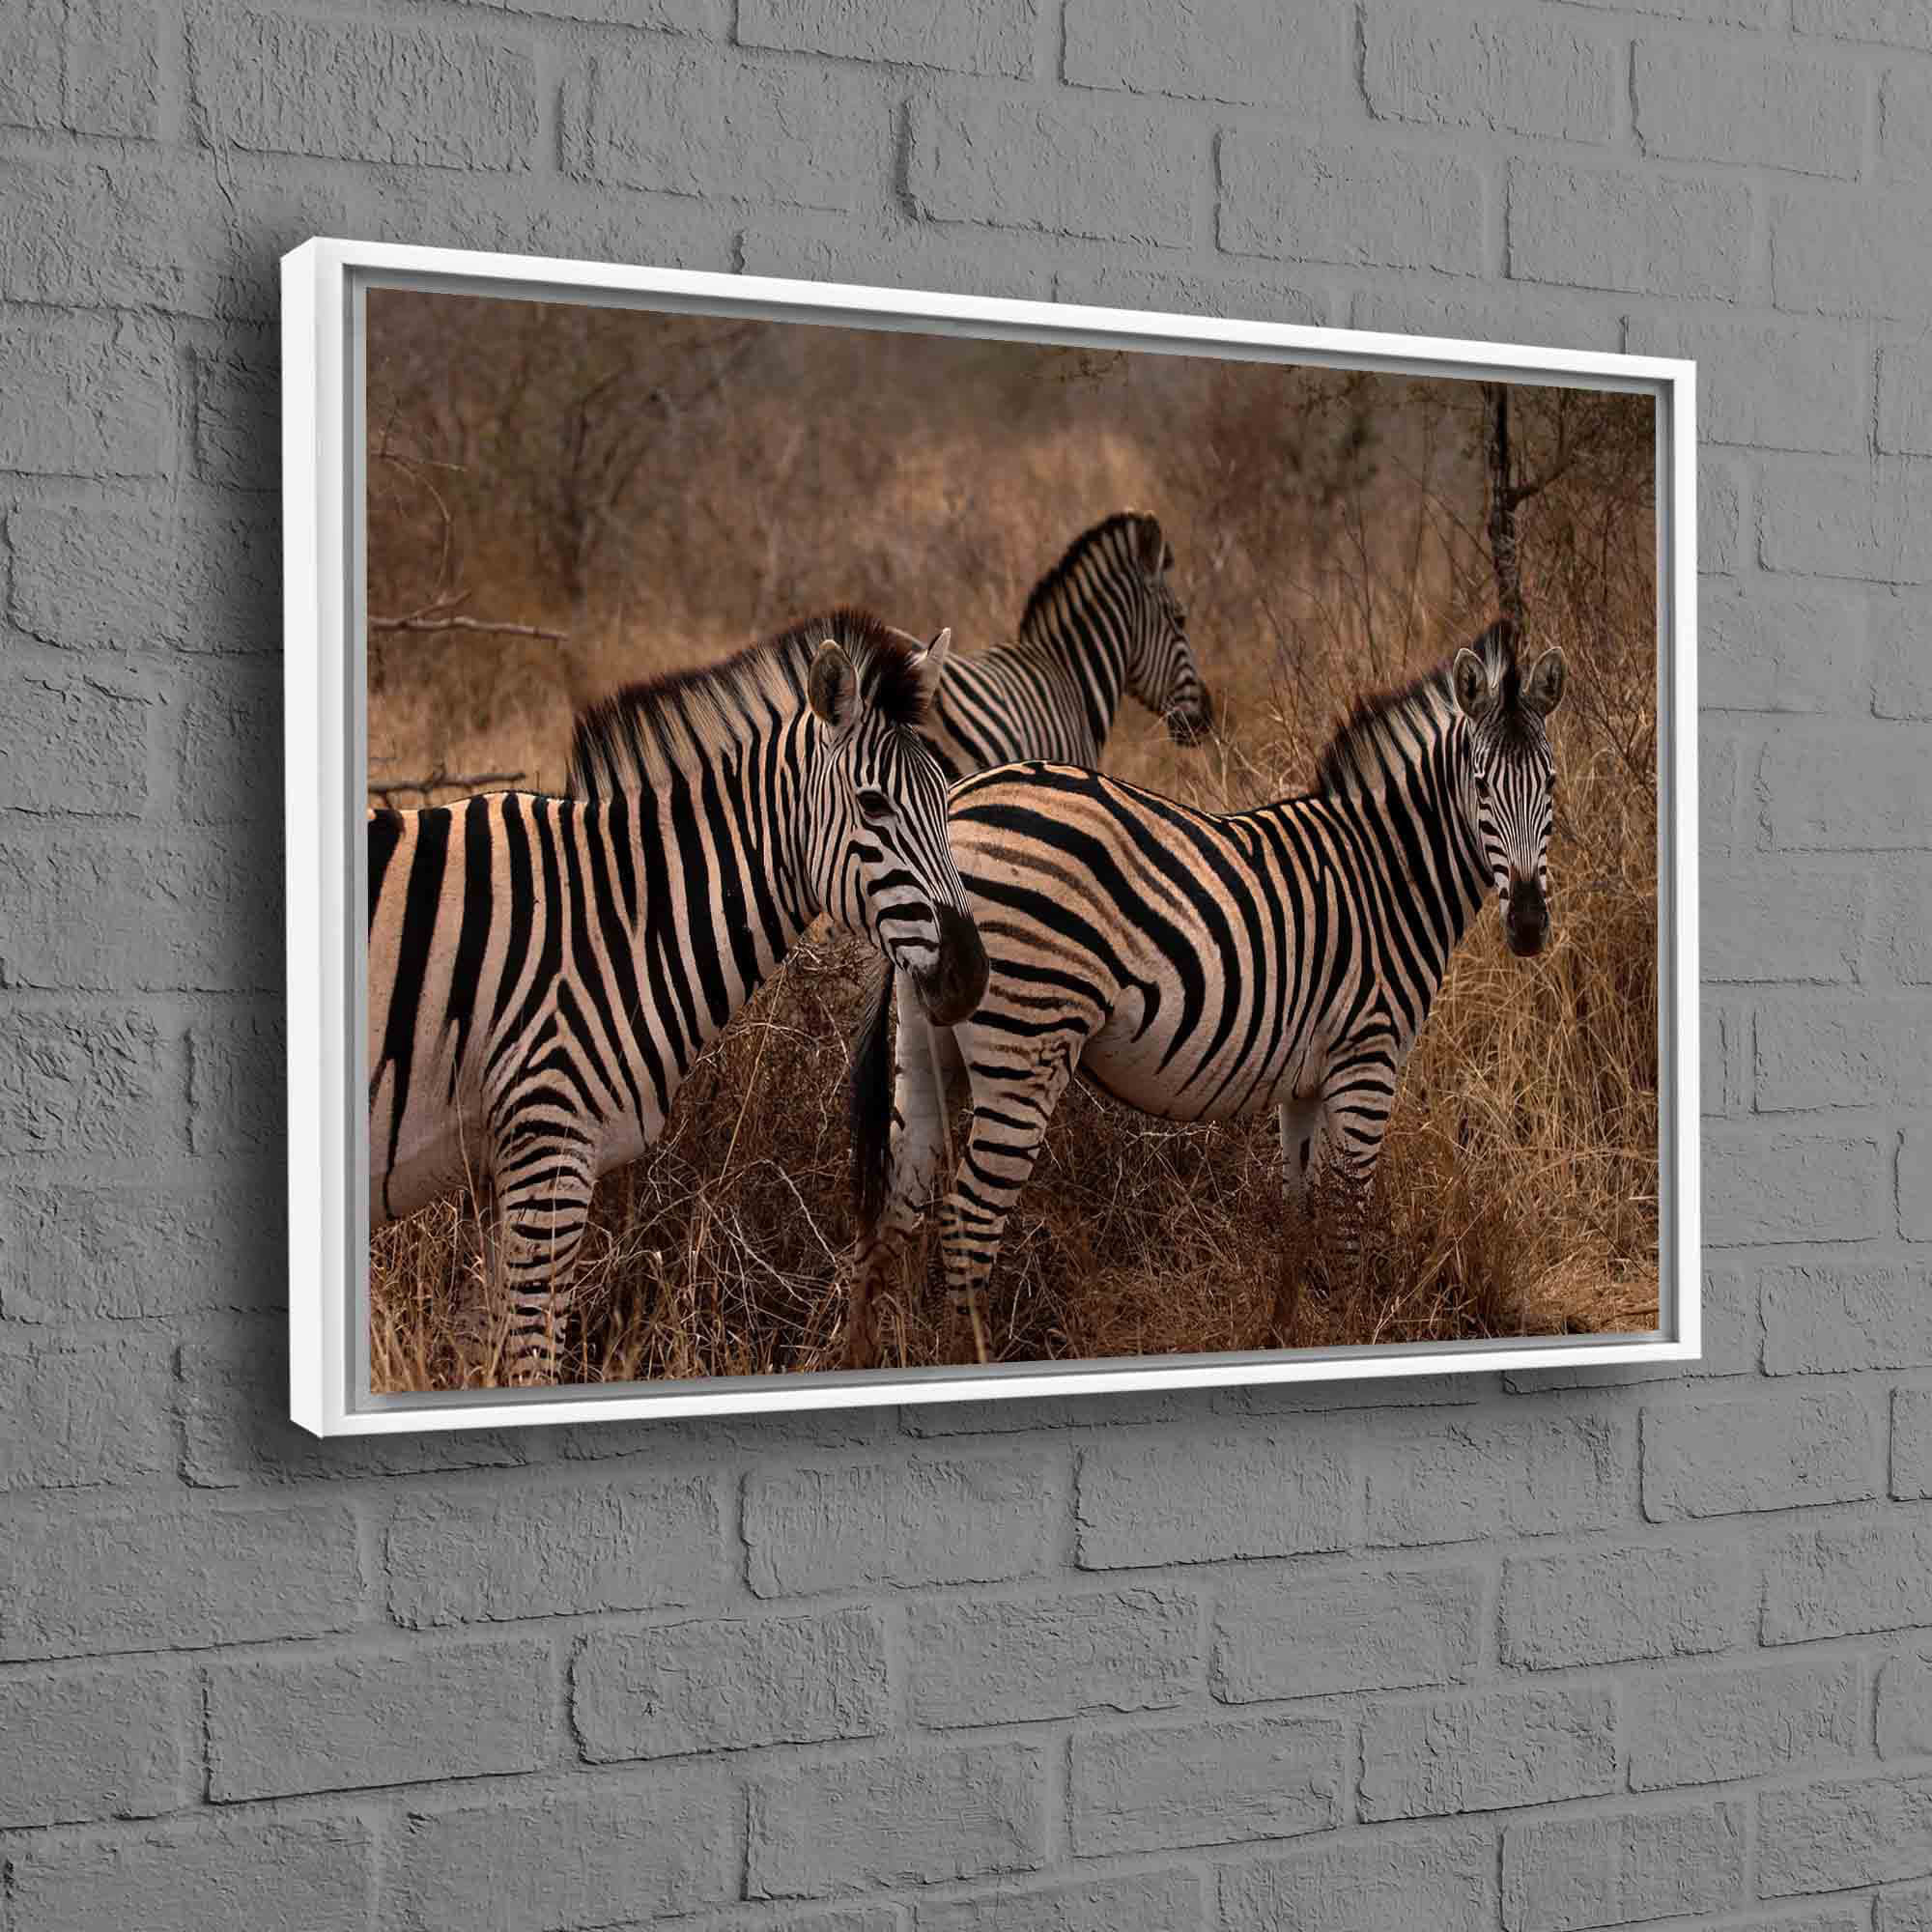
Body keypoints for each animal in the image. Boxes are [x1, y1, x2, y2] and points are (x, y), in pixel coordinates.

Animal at [368, 610, 988, 1384]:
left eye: (946, 794)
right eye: (873, 805)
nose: (972, 975)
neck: (615, 917)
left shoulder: (494, 1163)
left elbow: (485, 1350)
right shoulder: (549, 1147)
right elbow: (533, 1358)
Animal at [845, 619, 1565, 1367]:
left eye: (1551, 783)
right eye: (1480, 785)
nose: (1528, 925)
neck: (1386, 875)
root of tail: (955, 805)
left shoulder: (1305, 1082)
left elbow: (1298, 1213)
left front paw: (1285, 1337)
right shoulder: (1367, 1058)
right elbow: (1348, 1219)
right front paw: (1353, 1327)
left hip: (930, 1035)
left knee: (893, 1207)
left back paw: (864, 1355)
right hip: (1026, 1045)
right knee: (967, 1224)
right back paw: (970, 1357)